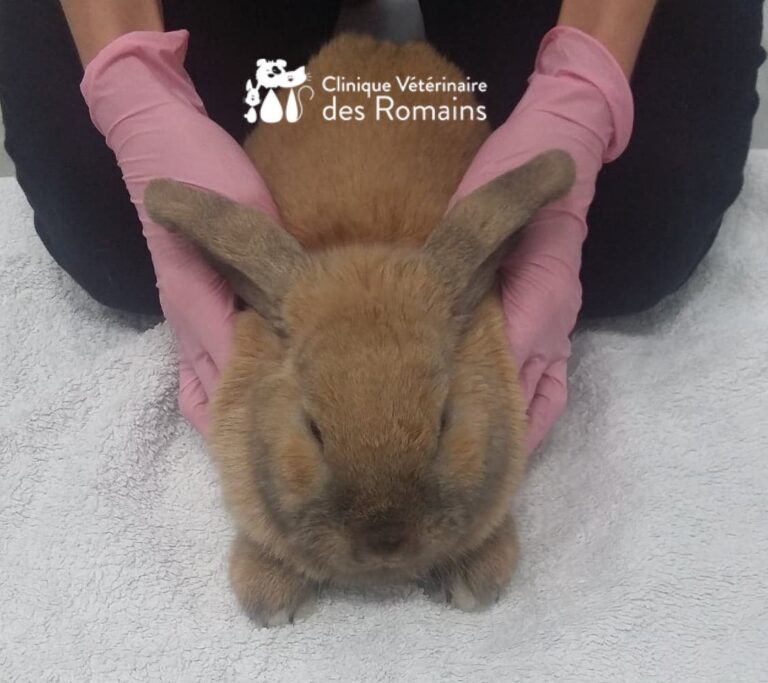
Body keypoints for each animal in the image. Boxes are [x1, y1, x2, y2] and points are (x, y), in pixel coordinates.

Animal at [144, 33, 574, 626]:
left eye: (444, 421)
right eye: (313, 430)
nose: (386, 541)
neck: (365, 244)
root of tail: (384, 42)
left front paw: (476, 581)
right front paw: (269, 598)